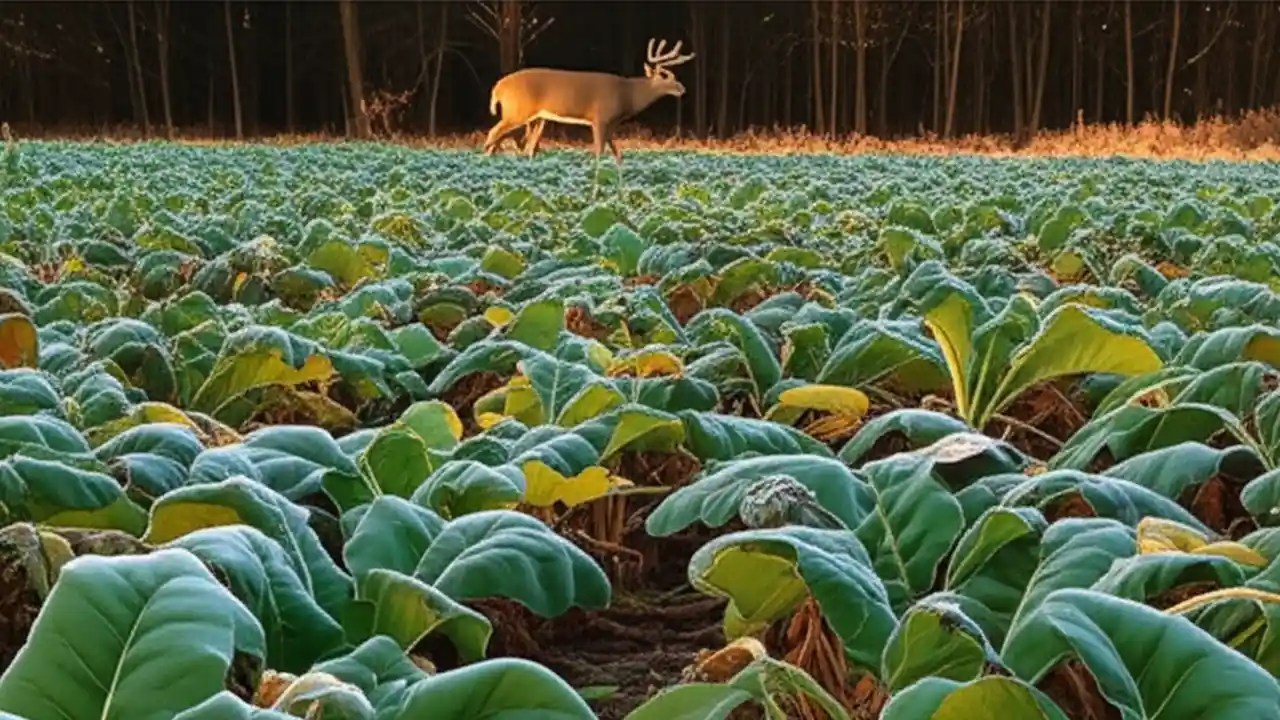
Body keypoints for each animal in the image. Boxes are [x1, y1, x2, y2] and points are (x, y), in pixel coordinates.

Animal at [483, 39, 694, 192]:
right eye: (665, 76)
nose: (682, 88)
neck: (626, 95)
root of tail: (497, 88)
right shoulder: (599, 118)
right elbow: (599, 154)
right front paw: (594, 194)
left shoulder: (611, 124)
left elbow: (618, 156)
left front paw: (623, 193)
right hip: (517, 111)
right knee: (493, 134)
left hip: (533, 118)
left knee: (520, 145)